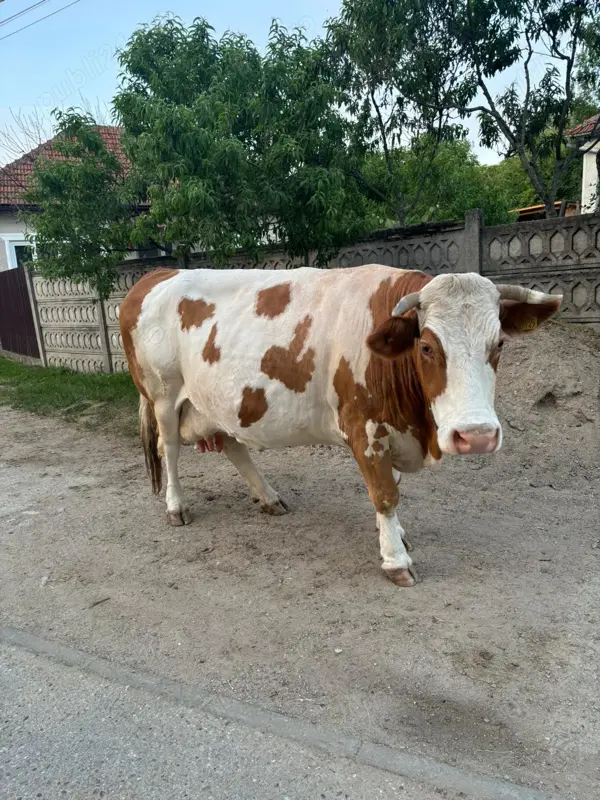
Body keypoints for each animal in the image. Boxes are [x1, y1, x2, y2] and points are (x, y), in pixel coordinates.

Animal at [119, 265, 561, 587]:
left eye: (498, 344)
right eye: (426, 346)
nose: (477, 436)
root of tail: (157, 274)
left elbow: (390, 489)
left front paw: (396, 535)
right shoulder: (363, 429)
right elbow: (384, 495)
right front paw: (395, 559)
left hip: (218, 402)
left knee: (233, 445)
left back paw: (268, 497)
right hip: (162, 396)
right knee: (169, 449)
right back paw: (177, 506)